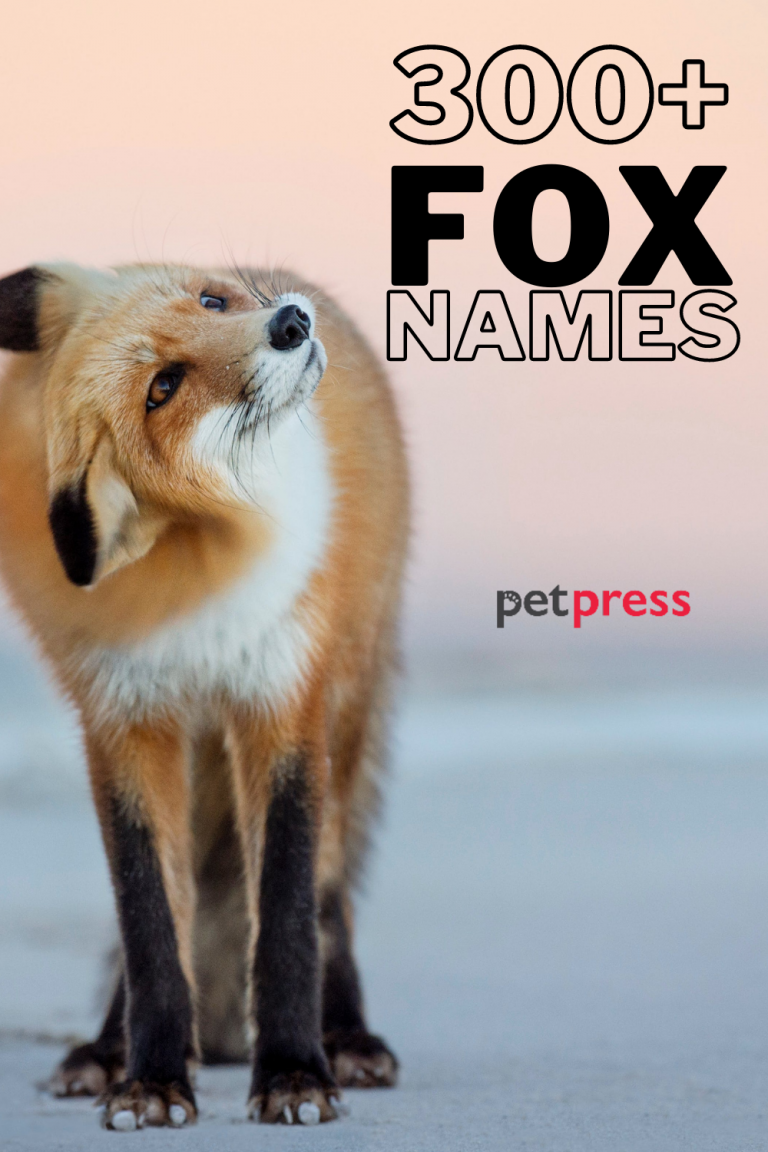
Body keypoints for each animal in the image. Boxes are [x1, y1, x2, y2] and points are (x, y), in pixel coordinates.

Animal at [0, 262, 409, 1129]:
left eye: (213, 301)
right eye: (162, 388)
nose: (290, 323)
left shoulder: (280, 697)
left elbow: (285, 912)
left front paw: (292, 1073)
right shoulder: (121, 720)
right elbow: (149, 917)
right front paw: (151, 1078)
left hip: (344, 705)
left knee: (330, 893)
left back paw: (347, 1037)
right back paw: (107, 1049)